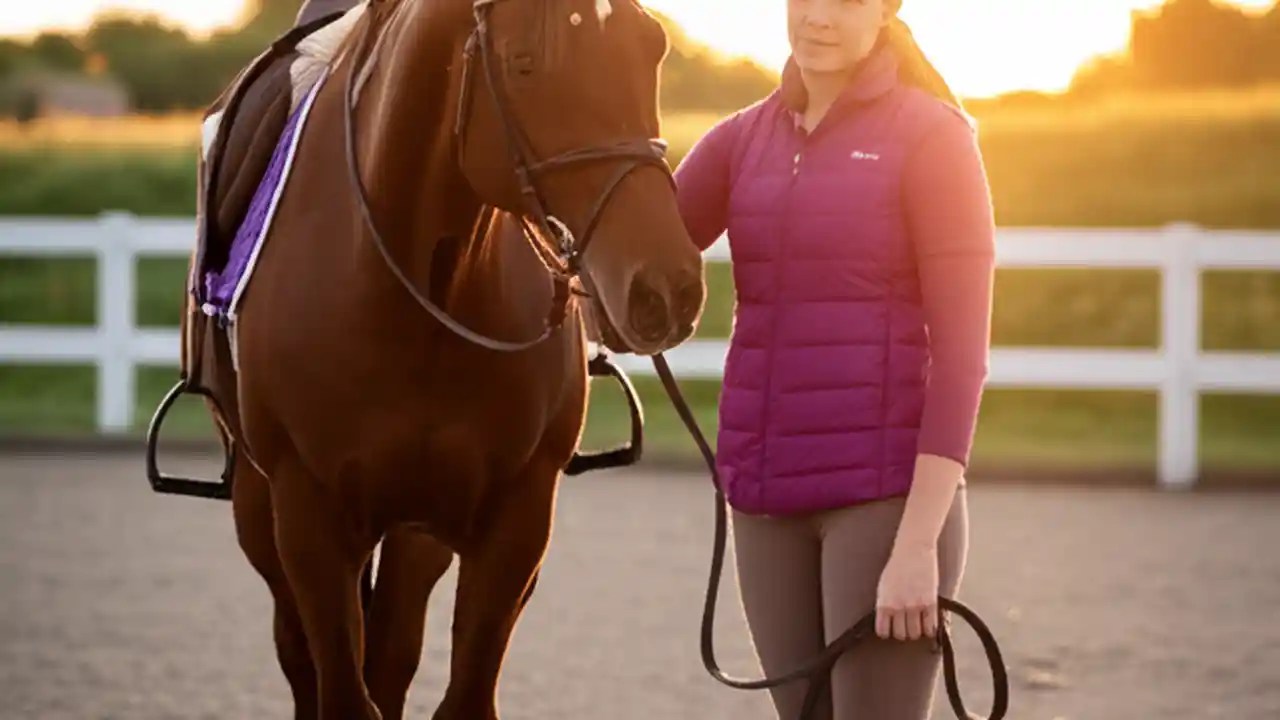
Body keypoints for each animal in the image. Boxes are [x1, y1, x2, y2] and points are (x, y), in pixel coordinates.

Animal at [187, 1, 706, 718]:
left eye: (651, 46)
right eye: (524, 65)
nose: (666, 288)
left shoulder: (515, 517)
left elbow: (460, 696)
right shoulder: (307, 516)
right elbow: (340, 693)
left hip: (419, 527)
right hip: (258, 508)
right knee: (301, 659)